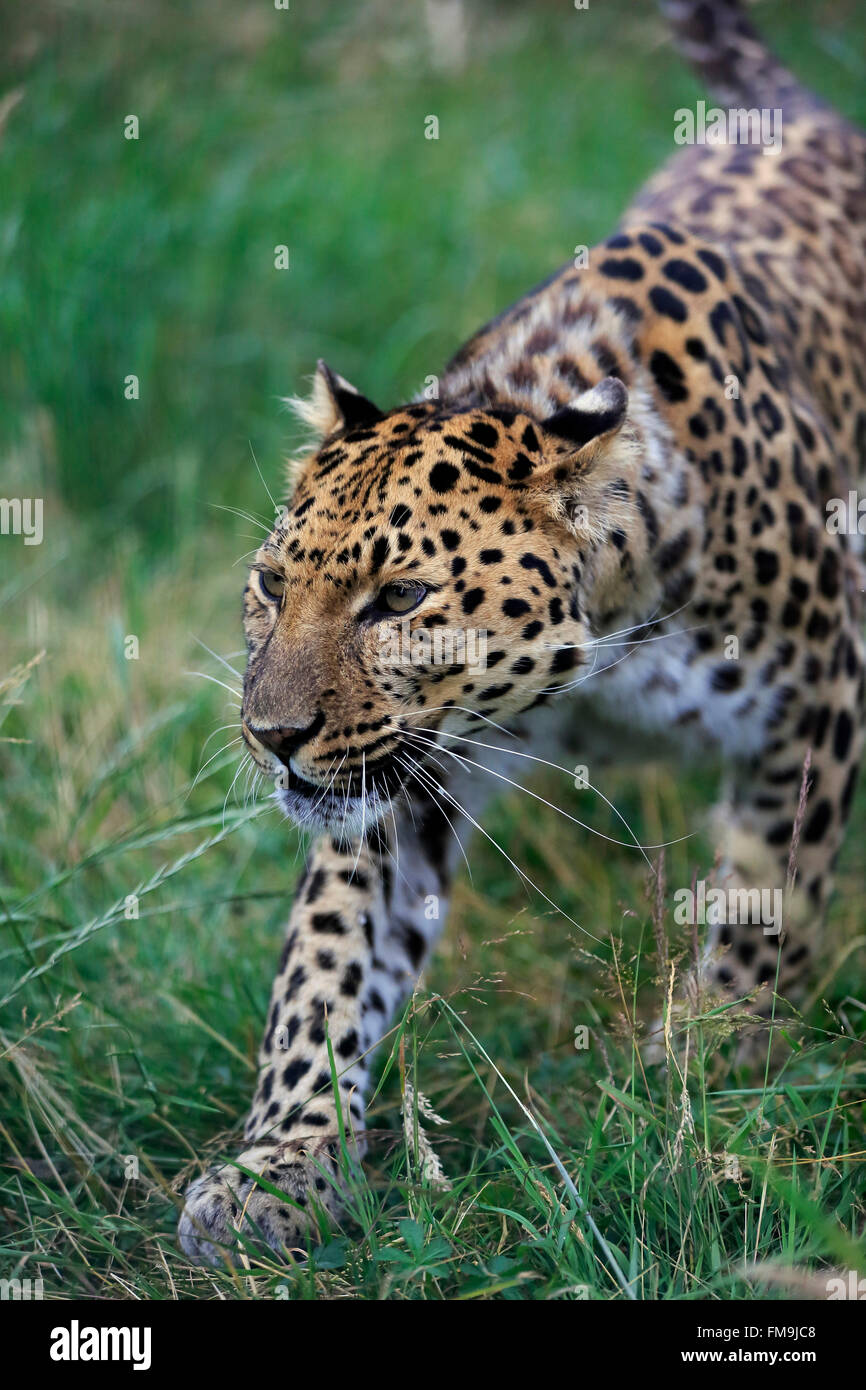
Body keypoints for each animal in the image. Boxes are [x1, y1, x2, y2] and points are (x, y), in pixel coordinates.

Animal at [179, 0, 866, 1263]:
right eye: (267, 583)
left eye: (399, 600)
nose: (271, 736)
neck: (604, 655)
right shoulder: (400, 772)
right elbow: (326, 962)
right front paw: (282, 1162)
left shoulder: (818, 689)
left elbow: (767, 894)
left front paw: (710, 1067)